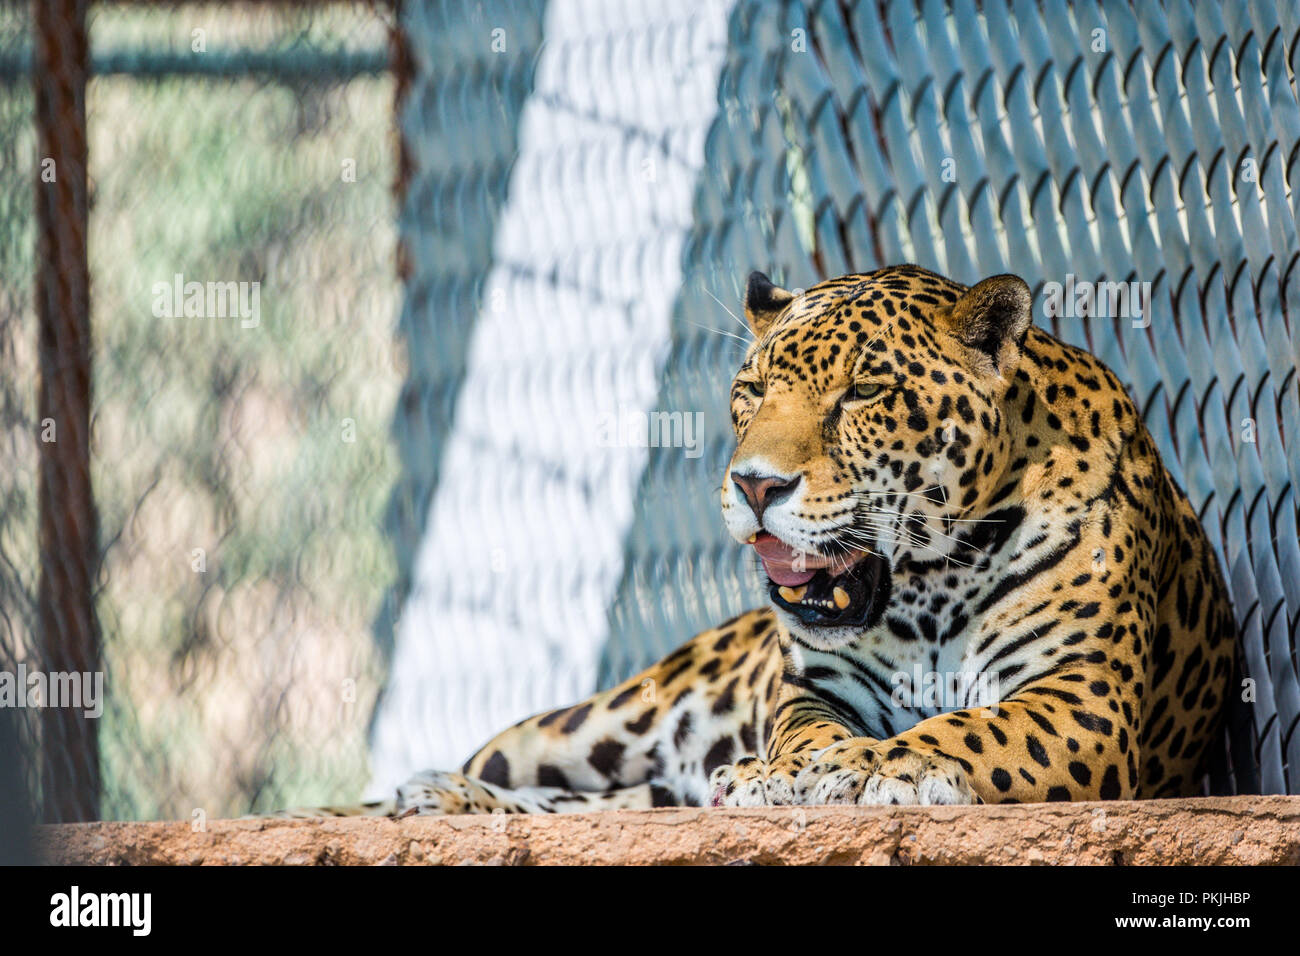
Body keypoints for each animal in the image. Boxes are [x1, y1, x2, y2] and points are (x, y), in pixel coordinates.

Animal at [292, 265, 1237, 816]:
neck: (930, 585)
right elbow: (809, 736)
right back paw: (432, 795)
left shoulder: (1082, 696)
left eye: (863, 394)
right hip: (593, 724)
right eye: (750, 389)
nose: (754, 485)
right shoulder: (811, 691)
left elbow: (973, 729)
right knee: (513, 775)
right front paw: (789, 773)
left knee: (612, 808)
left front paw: (888, 768)